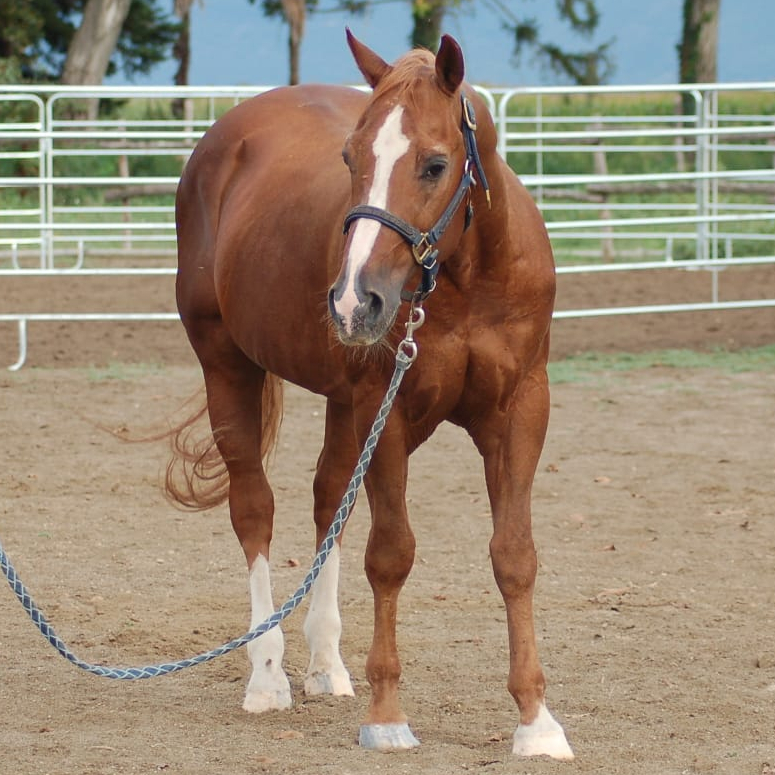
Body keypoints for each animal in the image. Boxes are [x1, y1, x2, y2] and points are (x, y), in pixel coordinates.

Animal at [170, 30, 573, 759]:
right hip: (227, 364)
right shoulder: (390, 411)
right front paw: (388, 715)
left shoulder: (521, 411)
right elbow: (390, 556)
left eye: (435, 164)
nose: (355, 300)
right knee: (254, 509)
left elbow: (514, 556)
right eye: (350, 159)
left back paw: (326, 664)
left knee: (329, 498)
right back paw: (266, 674)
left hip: (341, 400)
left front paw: (535, 719)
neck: (469, 278)